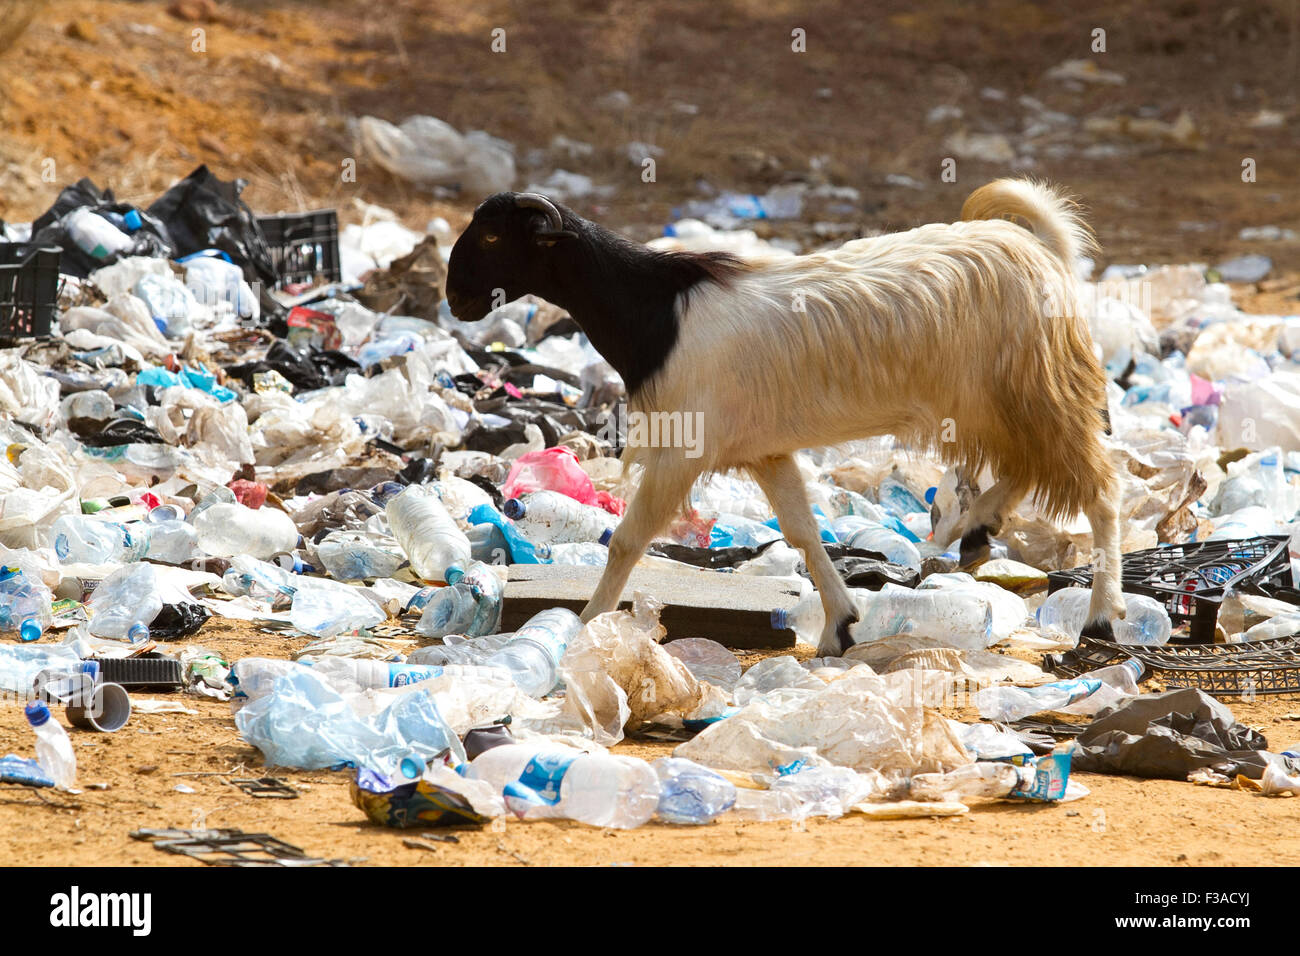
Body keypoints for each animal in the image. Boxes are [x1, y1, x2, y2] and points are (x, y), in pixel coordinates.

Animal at [446, 182, 1126, 657]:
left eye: (492, 239)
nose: (455, 298)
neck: (658, 312)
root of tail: (1042, 251)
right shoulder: (764, 449)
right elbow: (801, 531)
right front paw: (840, 625)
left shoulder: (684, 447)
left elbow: (629, 540)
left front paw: (586, 624)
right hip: (1010, 401)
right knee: (1030, 470)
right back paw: (981, 527)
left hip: (1035, 392)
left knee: (1099, 489)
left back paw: (1100, 615)